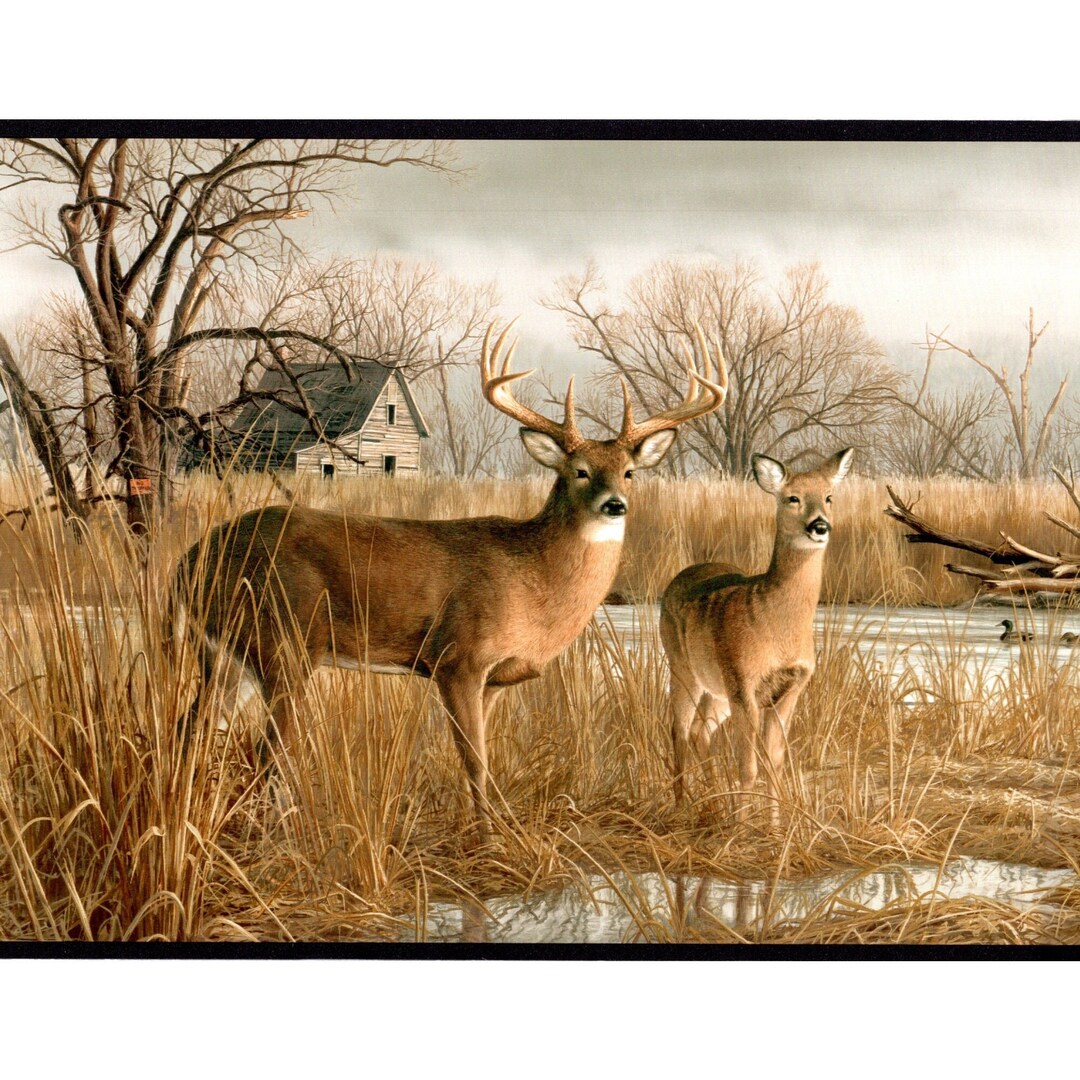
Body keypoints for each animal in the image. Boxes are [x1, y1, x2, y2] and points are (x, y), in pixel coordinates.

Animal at [172, 322, 728, 843]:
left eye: (630, 471)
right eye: (580, 471)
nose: (616, 505)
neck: (533, 581)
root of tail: (190, 560)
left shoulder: (495, 678)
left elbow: (481, 760)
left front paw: (489, 826)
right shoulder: (458, 657)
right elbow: (474, 760)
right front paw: (488, 838)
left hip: (228, 652)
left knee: (195, 727)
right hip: (283, 641)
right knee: (264, 749)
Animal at [659, 447, 854, 828]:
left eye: (828, 497)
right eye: (792, 498)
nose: (820, 525)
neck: (776, 626)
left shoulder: (791, 688)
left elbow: (774, 760)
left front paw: (775, 826)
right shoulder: (744, 680)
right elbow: (747, 764)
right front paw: (742, 827)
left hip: (717, 688)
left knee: (699, 732)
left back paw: (712, 802)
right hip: (684, 668)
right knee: (678, 730)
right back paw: (683, 806)